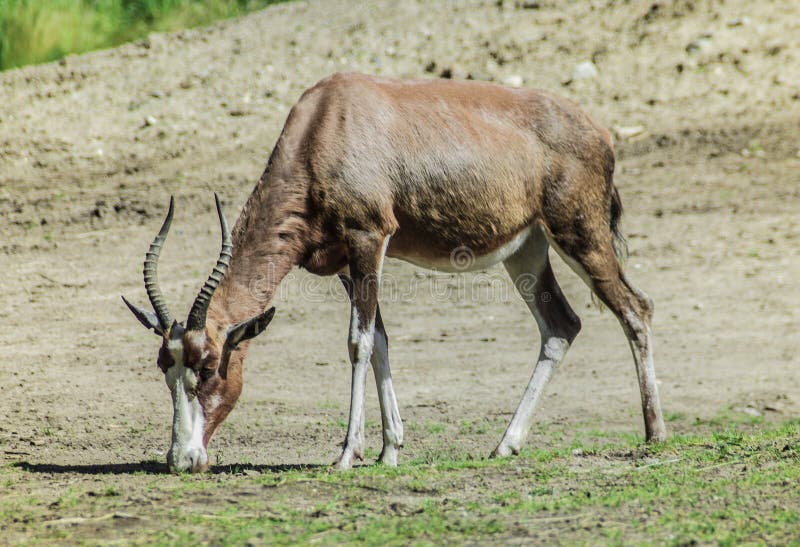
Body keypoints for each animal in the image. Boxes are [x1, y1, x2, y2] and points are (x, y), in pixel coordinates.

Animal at [123, 72, 666, 473]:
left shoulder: (370, 238)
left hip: (580, 235)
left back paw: (654, 434)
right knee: (560, 326)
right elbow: (380, 340)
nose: (182, 460)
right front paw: (388, 450)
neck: (329, 120)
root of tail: (599, 132)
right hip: (527, 251)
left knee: (636, 307)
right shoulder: (347, 263)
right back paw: (505, 445)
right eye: (164, 367)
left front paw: (346, 455)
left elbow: (357, 343)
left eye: (209, 367)